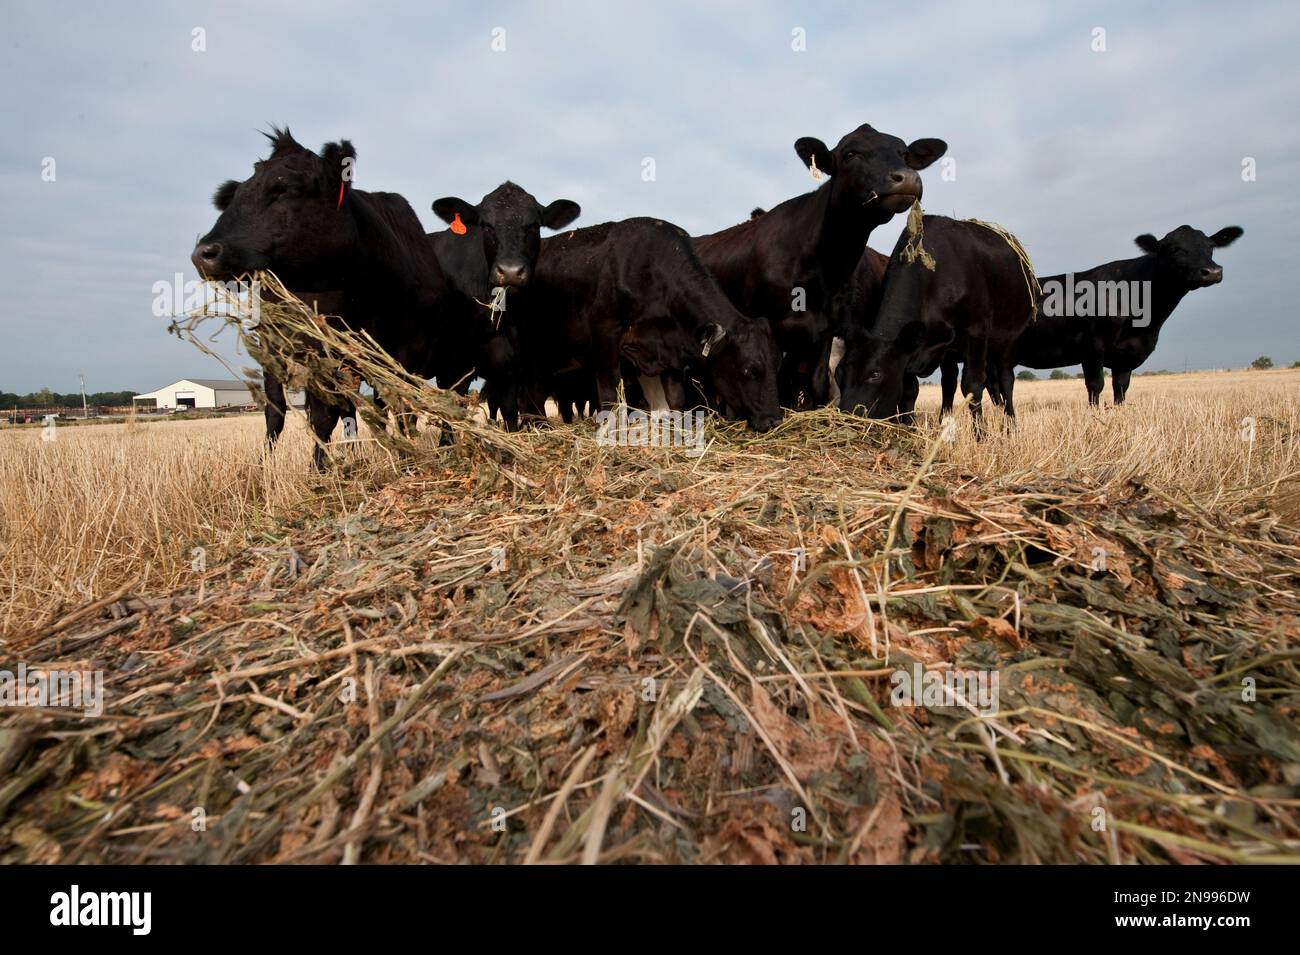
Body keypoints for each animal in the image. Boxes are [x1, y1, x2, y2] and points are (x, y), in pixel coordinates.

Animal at [191, 128, 443, 467]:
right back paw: (267, 464)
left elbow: (400, 410)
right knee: (277, 410)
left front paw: (407, 459)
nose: (204, 254)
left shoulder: (408, 355)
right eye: (236, 194)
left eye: (285, 188)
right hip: (276, 351)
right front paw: (319, 470)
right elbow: (322, 416)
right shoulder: (319, 351)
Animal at [513, 218, 783, 432]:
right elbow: (610, 397)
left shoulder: (669, 352)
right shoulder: (605, 336)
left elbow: (675, 400)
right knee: (532, 392)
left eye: (776, 364)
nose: (774, 421)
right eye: (749, 370)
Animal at [836, 216, 1037, 431]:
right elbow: (910, 390)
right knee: (949, 382)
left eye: (875, 374)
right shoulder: (911, 349)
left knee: (1006, 379)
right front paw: (909, 429)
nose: (844, 421)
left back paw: (1010, 427)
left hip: (1010, 339)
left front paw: (981, 434)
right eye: (839, 373)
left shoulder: (976, 332)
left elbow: (972, 385)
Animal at [981, 225, 1244, 406]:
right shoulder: (1093, 346)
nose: (1212, 271)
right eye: (1174, 249)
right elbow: (1096, 385)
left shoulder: (1127, 355)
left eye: (1210, 246)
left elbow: (1121, 388)